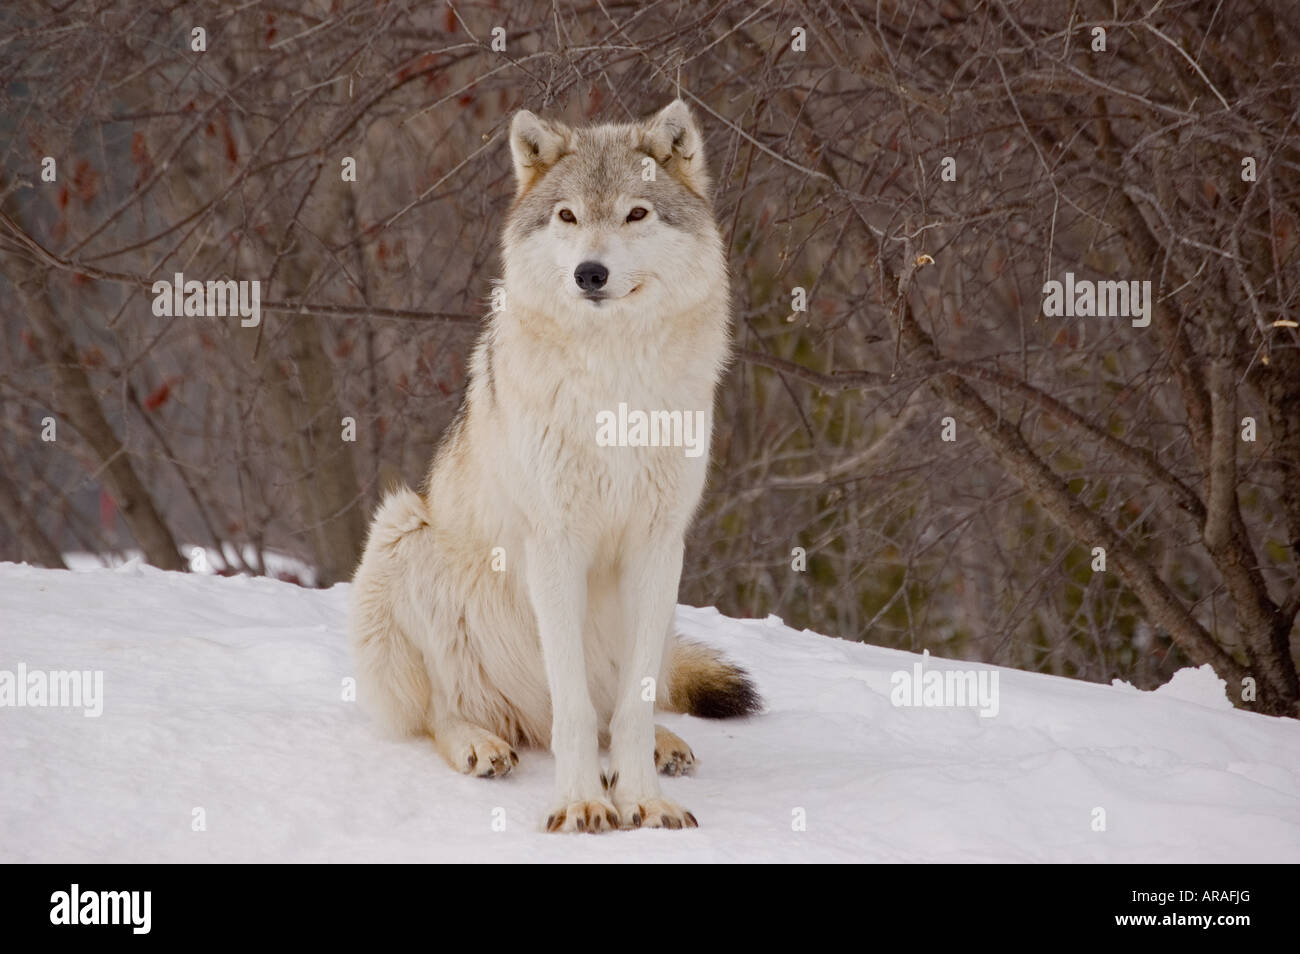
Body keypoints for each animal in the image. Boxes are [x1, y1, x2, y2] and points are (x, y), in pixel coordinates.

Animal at [349, 98, 760, 834]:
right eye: (567, 216)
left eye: (635, 213)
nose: (589, 273)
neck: (614, 381)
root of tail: (520, 717)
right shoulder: (554, 542)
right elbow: (572, 708)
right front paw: (580, 804)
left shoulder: (660, 544)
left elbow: (629, 706)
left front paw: (643, 798)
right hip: (404, 532)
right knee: (447, 710)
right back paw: (482, 744)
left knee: (619, 707)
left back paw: (659, 747)